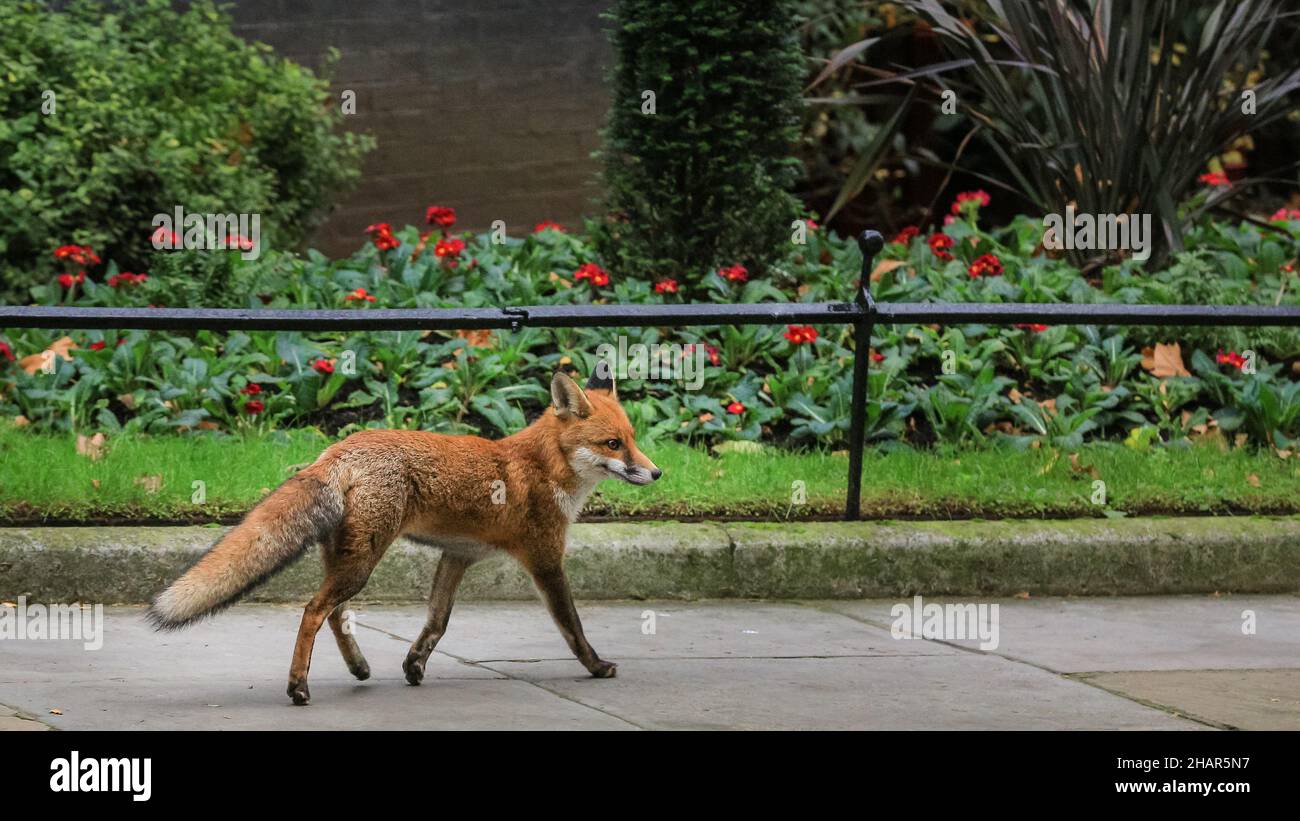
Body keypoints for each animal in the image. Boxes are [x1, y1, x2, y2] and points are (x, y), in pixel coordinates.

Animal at [147, 366, 660, 704]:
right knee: (314, 609)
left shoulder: (457, 556)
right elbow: (573, 627)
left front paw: (414, 665)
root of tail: (337, 448)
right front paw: (596, 667)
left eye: (633, 439)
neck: (544, 467)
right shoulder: (546, 559)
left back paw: (358, 667)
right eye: (612, 444)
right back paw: (298, 686)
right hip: (362, 561)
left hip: (348, 557)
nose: (656, 473)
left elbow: (437, 622)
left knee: (334, 613)